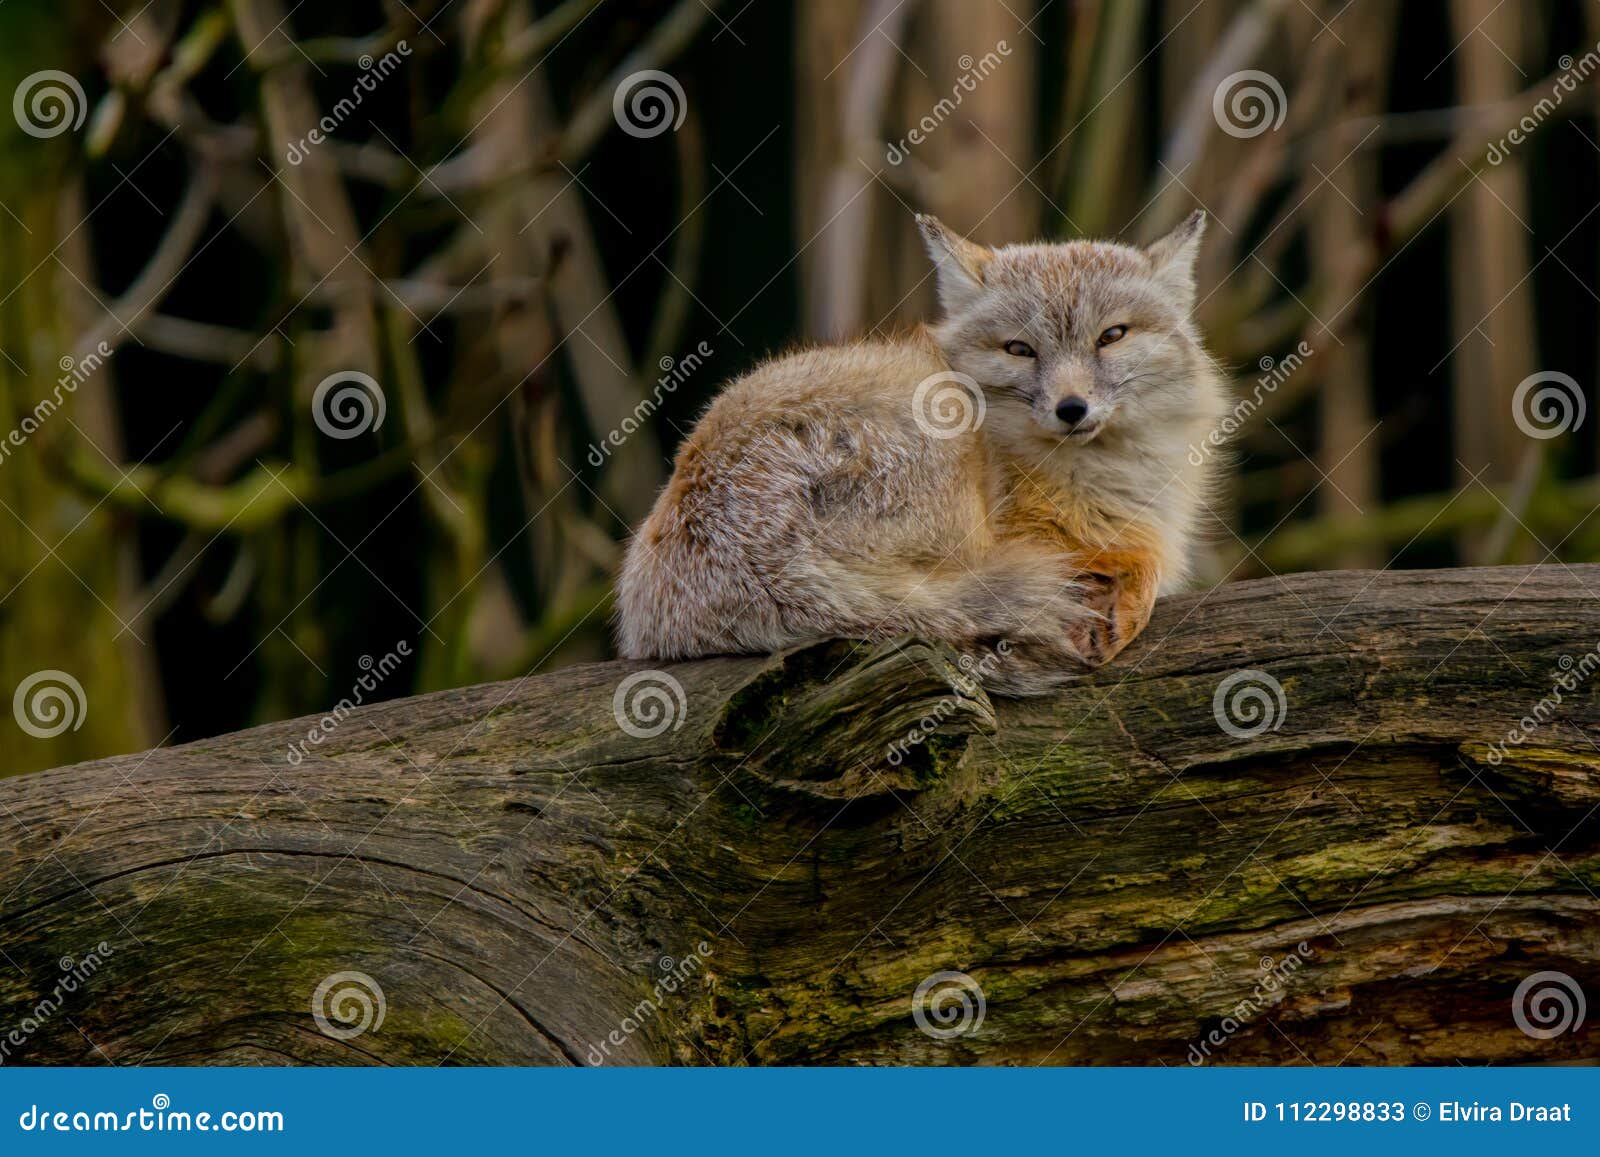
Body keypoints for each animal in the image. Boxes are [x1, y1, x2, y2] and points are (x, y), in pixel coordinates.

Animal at [615, 209, 1229, 695]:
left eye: (1111, 336)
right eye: (1020, 349)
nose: (1071, 408)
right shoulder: (1026, 534)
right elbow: (1138, 559)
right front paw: (1128, 592)